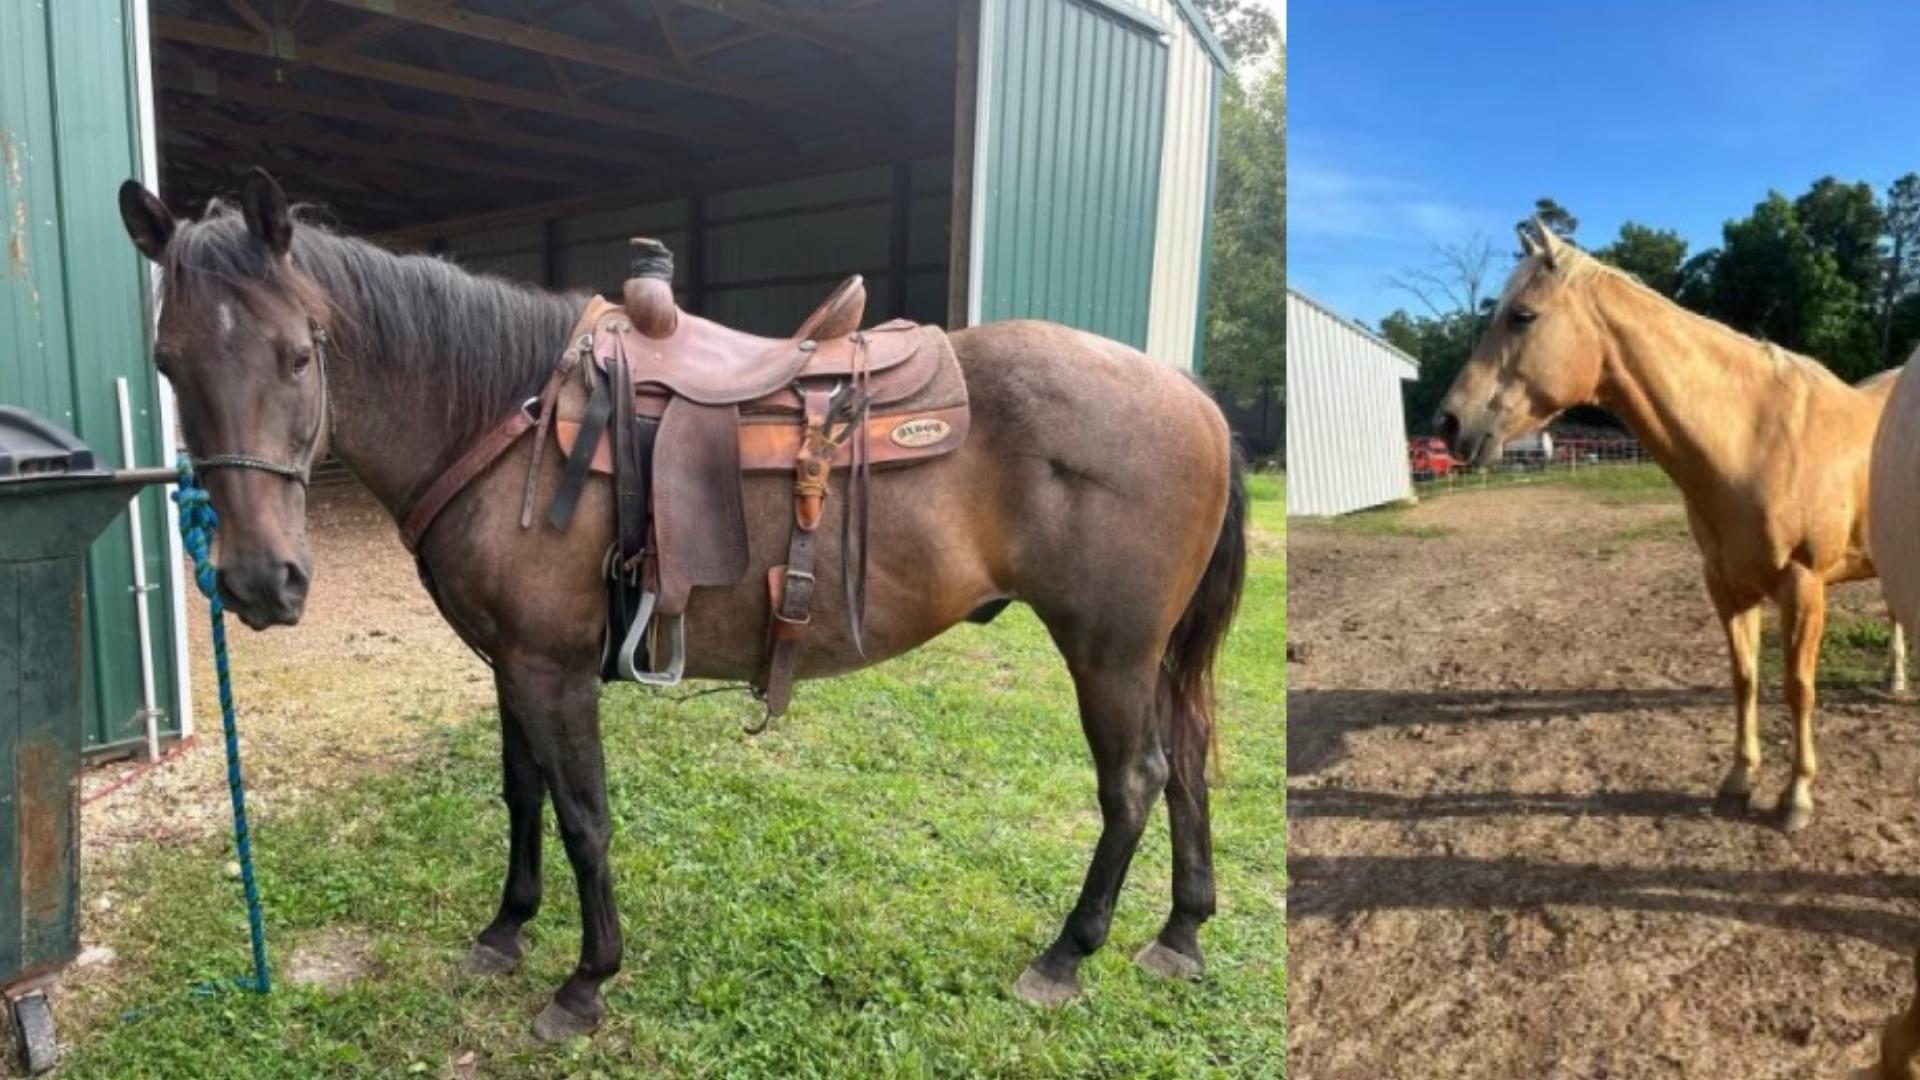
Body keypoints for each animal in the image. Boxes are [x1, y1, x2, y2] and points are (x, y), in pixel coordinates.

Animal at [117, 169, 1247, 1039]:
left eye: (299, 354)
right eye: (169, 364)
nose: (258, 581)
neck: (509, 420)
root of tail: (1192, 394)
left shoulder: (551, 669)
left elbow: (584, 817)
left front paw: (584, 983)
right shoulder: (509, 663)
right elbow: (522, 797)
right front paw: (505, 931)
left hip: (1109, 651)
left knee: (1135, 783)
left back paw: (1067, 954)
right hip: (1150, 656)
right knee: (1188, 764)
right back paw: (1180, 934)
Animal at [1436, 218, 1901, 834]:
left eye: (1523, 315)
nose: (1447, 423)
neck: (1756, 439)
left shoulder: (1803, 586)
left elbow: (1798, 689)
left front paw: (1796, 796)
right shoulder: (1727, 586)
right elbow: (1745, 679)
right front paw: (1737, 782)